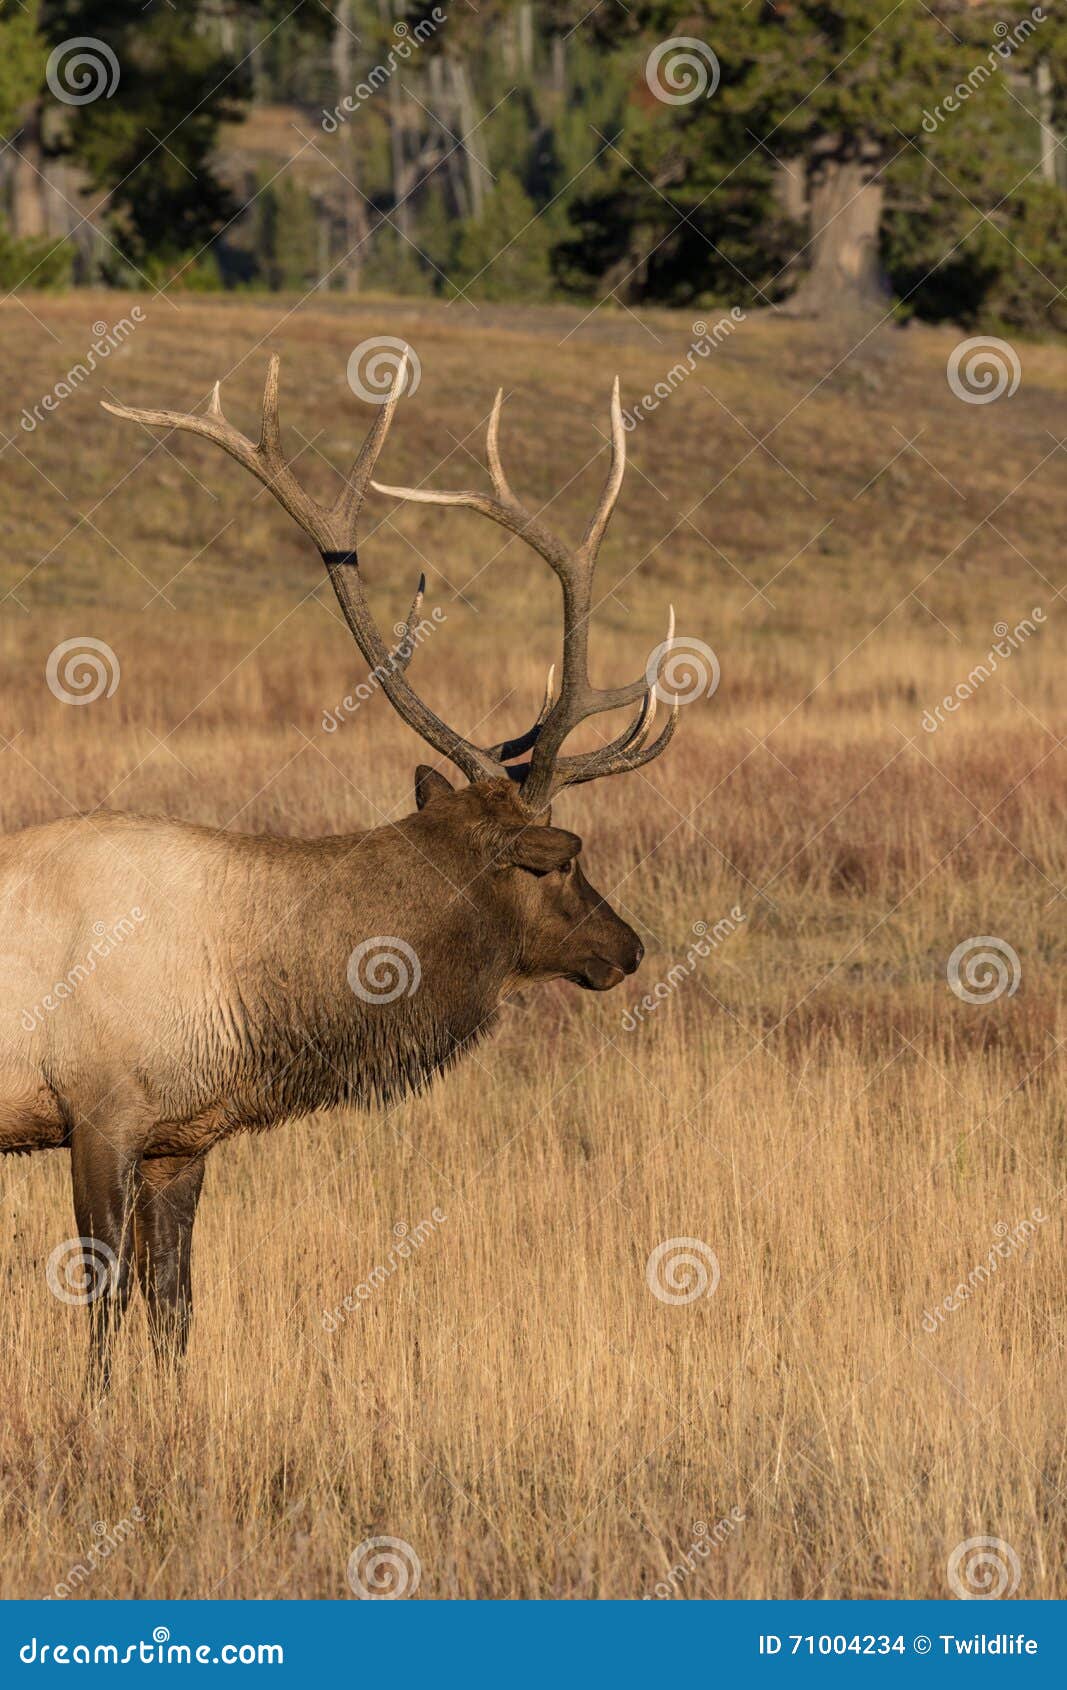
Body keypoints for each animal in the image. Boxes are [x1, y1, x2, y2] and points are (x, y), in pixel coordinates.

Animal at [0, 349, 682, 1385]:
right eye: (561, 860)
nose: (629, 947)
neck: (245, 999)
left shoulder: (181, 1137)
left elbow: (175, 1307)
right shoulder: (98, 1108)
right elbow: (104, 1307)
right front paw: (96, 1408)